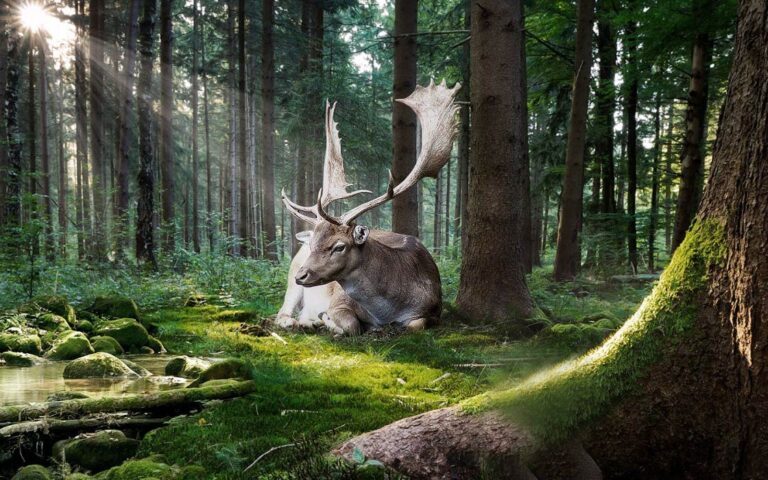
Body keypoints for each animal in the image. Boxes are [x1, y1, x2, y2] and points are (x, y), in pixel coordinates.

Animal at [280, 80, 460, 335]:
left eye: (339, 246)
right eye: (313, 244)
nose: (302, 275)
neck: (388, 311)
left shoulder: (435, 308)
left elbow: (414, 325)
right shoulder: (339, 301)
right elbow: (352, 325)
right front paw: (331, 321)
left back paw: (310, 320)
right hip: (291, 277)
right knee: (283, 311)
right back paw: (299, 320)